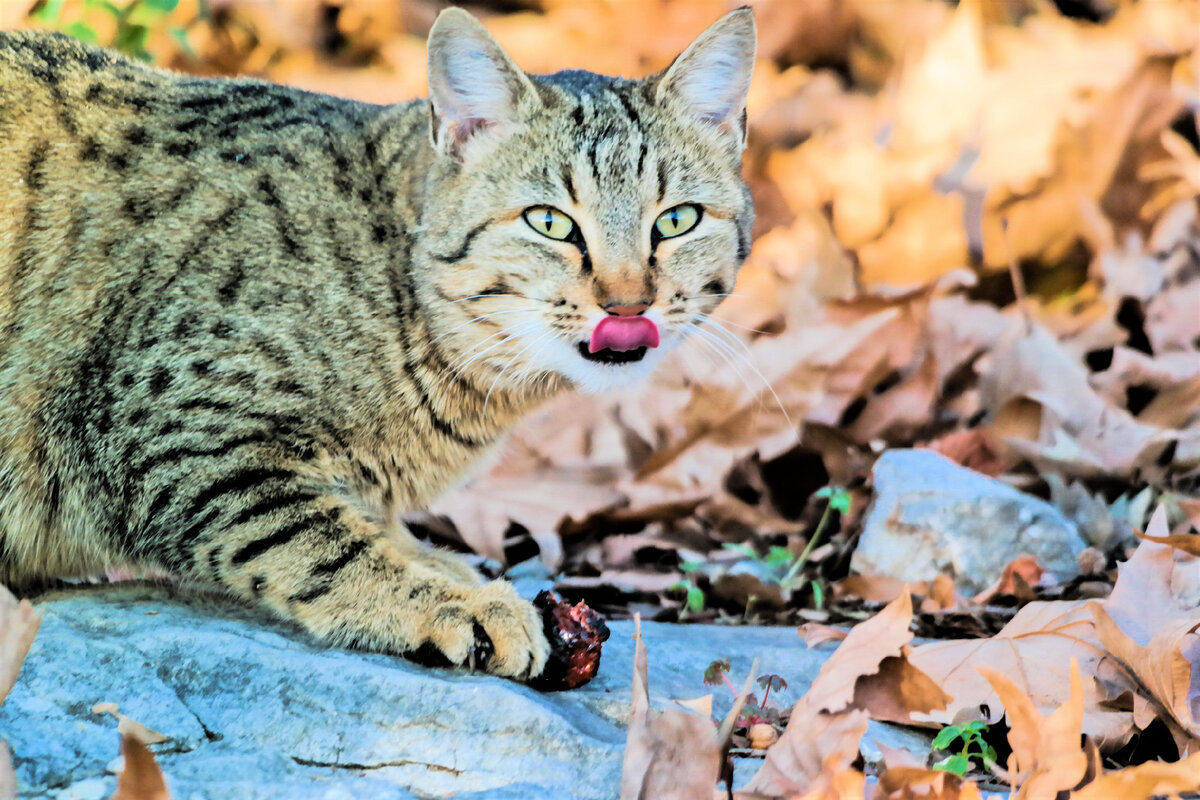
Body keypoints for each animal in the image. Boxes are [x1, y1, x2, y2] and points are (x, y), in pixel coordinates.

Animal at [0, 6, 748, 681]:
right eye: (550, 222)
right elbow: (317, 541)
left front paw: (454, 570)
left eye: (676, 221)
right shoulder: (170, 434)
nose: (628, 303)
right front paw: (452, 603)